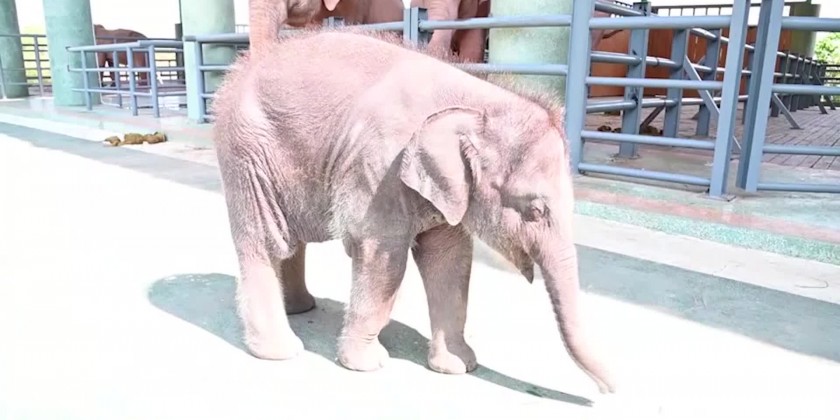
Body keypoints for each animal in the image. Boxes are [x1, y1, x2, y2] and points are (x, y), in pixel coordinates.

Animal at [210, 28, 616, 394]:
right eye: (534, 210)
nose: (608, 391)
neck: (478, 102)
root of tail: (241, 68)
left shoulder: (447, 190)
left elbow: (451, 260)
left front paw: (458, 367)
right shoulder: (379, 171)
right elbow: (384, 257)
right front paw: (367, 365)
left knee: (290, 243)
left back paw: (300, 309)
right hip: (247, 153)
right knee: (266, 243)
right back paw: (280, 351)